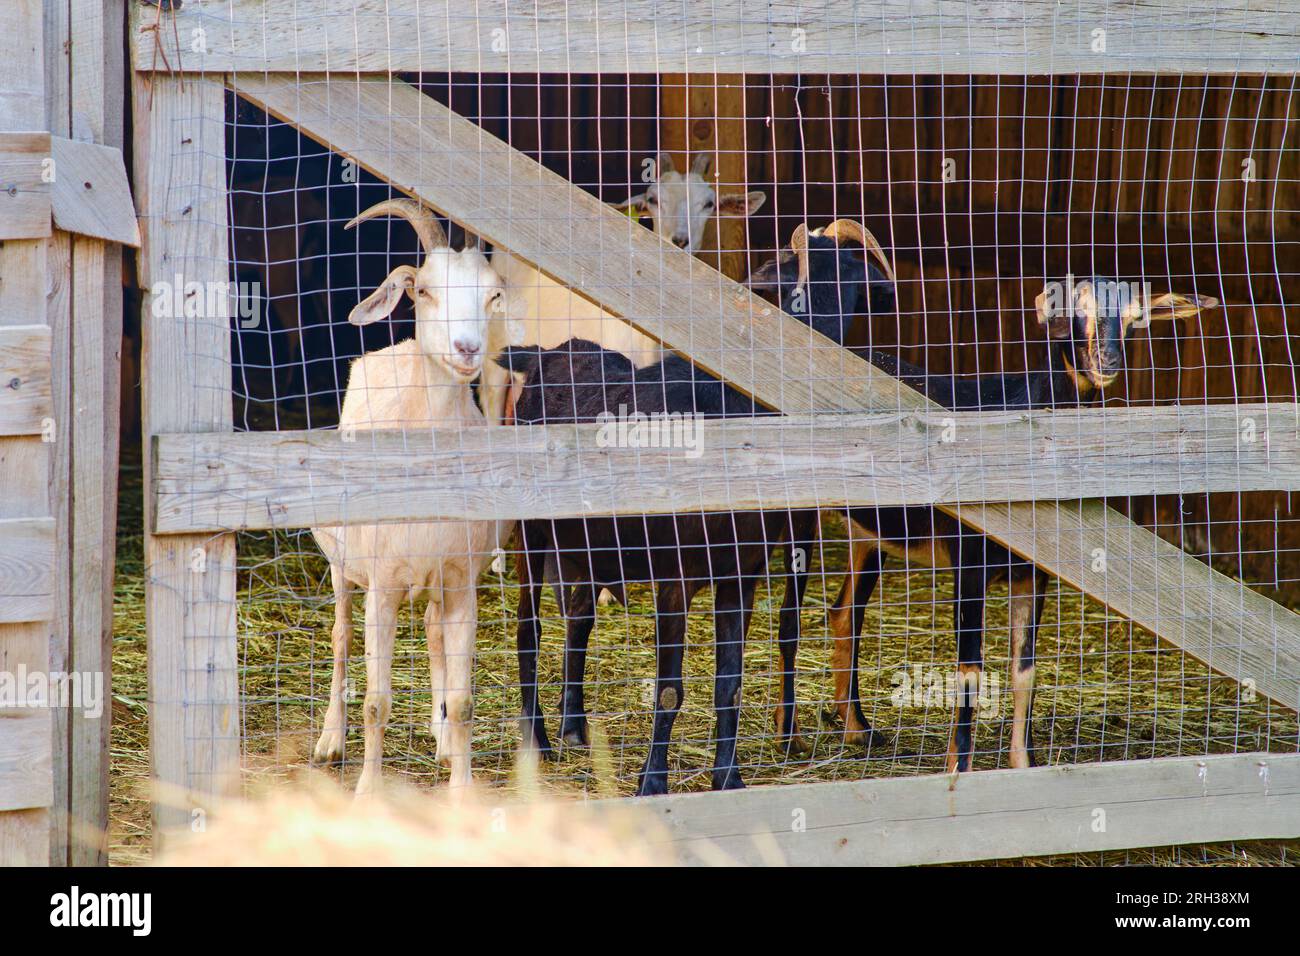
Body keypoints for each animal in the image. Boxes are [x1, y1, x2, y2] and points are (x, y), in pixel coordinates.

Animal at [310, 199, 513, 795]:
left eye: (493, 294)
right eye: (423, 290)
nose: (467, 349)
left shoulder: (461, 581)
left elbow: (464, 700)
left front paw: (462, 791)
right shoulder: (382, 585)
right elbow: (376, 702)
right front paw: (366, 794)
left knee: (433, 635)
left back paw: (442, 740)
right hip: (342, 567)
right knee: (340, 637)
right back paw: (330, 740)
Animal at [495, 221, 894, 795]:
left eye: (853, 286)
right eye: (794, 287)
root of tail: (545, 353)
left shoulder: (741, 574)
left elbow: (730, 682)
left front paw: (728, 777)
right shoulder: (677, 575)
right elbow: (669, 688)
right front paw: (653, 784)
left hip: (593, 543)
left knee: (579, 616)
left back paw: (573, 727)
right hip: (533, 529)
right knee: (530, 627)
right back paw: (539, 741)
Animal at [750, 257, 1217, 771]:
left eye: (1136, 317)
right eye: (1075, 307)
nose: (1107, 361)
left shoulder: (1034, 572)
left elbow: (1024, 669)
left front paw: (1022, 764)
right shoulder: (968, 561)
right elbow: (970, 668)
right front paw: (959, 766)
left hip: (871, 534)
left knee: (845, 613)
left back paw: (857, 728)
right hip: (799, 511)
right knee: (791, 616)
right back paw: (787, 735)